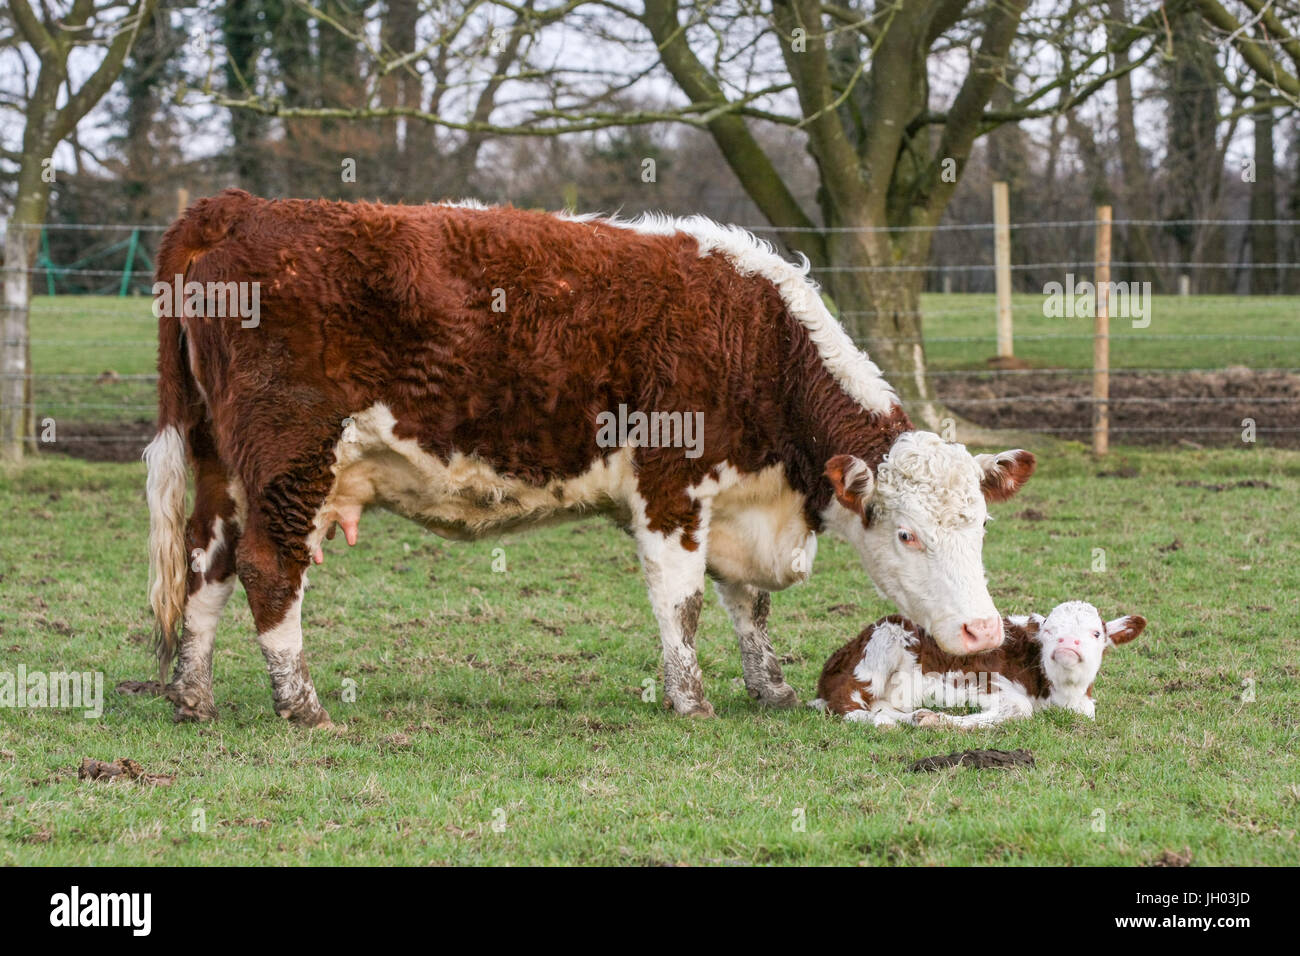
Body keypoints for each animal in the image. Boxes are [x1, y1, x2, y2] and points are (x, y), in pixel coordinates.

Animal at [143, 190, 1036, 727]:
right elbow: (683, 601)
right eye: (907, 534)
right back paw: (303, 707)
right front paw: (691, 700)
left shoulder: (739, 502)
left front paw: (772, 688)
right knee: (269, 567)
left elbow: (748, 605)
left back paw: (193, 698)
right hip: (290, 456)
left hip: (223, 463)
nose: (981, 627)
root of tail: (241, 208)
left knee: (207, 565)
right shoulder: (673, 487)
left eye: (981, 528)